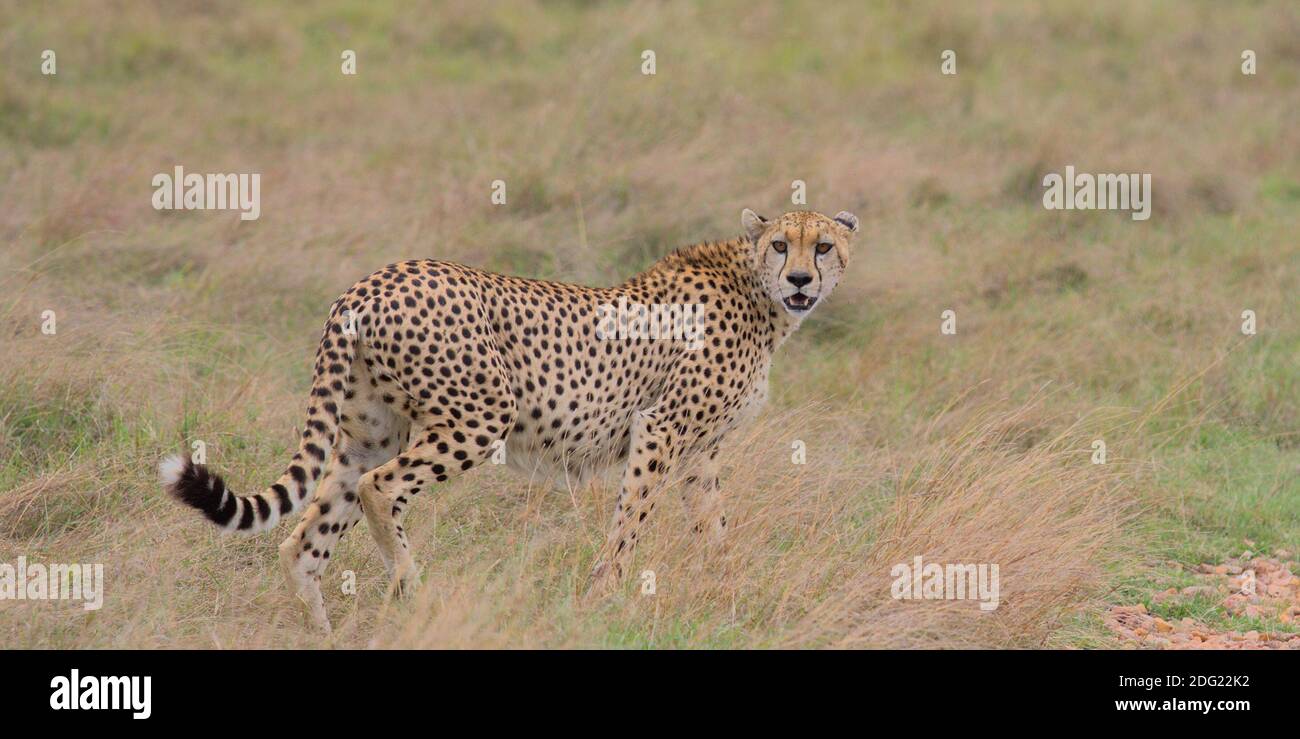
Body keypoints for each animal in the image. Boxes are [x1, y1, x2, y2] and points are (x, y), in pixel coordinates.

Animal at [160, 207, 860, 632]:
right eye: (781, 244)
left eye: (823, 245)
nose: (802, 278)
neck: (759, 292)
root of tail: (372, 280)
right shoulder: (660, 430)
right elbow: (630, 522)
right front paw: (605, 596)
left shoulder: (700, 452)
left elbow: (713, 529)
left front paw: (727, 592)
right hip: (481, 413)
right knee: (382, 489)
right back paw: (409, 583)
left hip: (369, 432)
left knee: (303, 539)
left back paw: (324, 633)